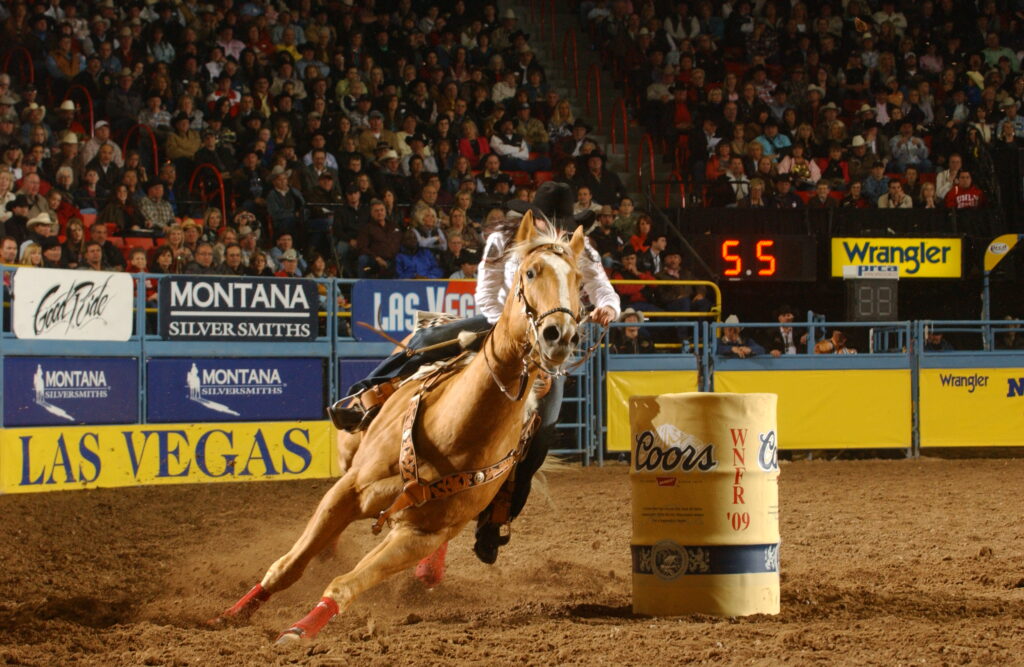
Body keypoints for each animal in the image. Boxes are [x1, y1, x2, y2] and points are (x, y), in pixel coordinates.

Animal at [213, 212, 588, 643]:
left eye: (579, 279)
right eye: (530, 271)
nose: (559, 335)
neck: (452, 431)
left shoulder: (419, 536)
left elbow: (346, 585)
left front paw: (299, 630)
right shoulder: (351, 489)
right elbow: (288, 566)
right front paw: (233, 614)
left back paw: (429, 571)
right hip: (349, 454)